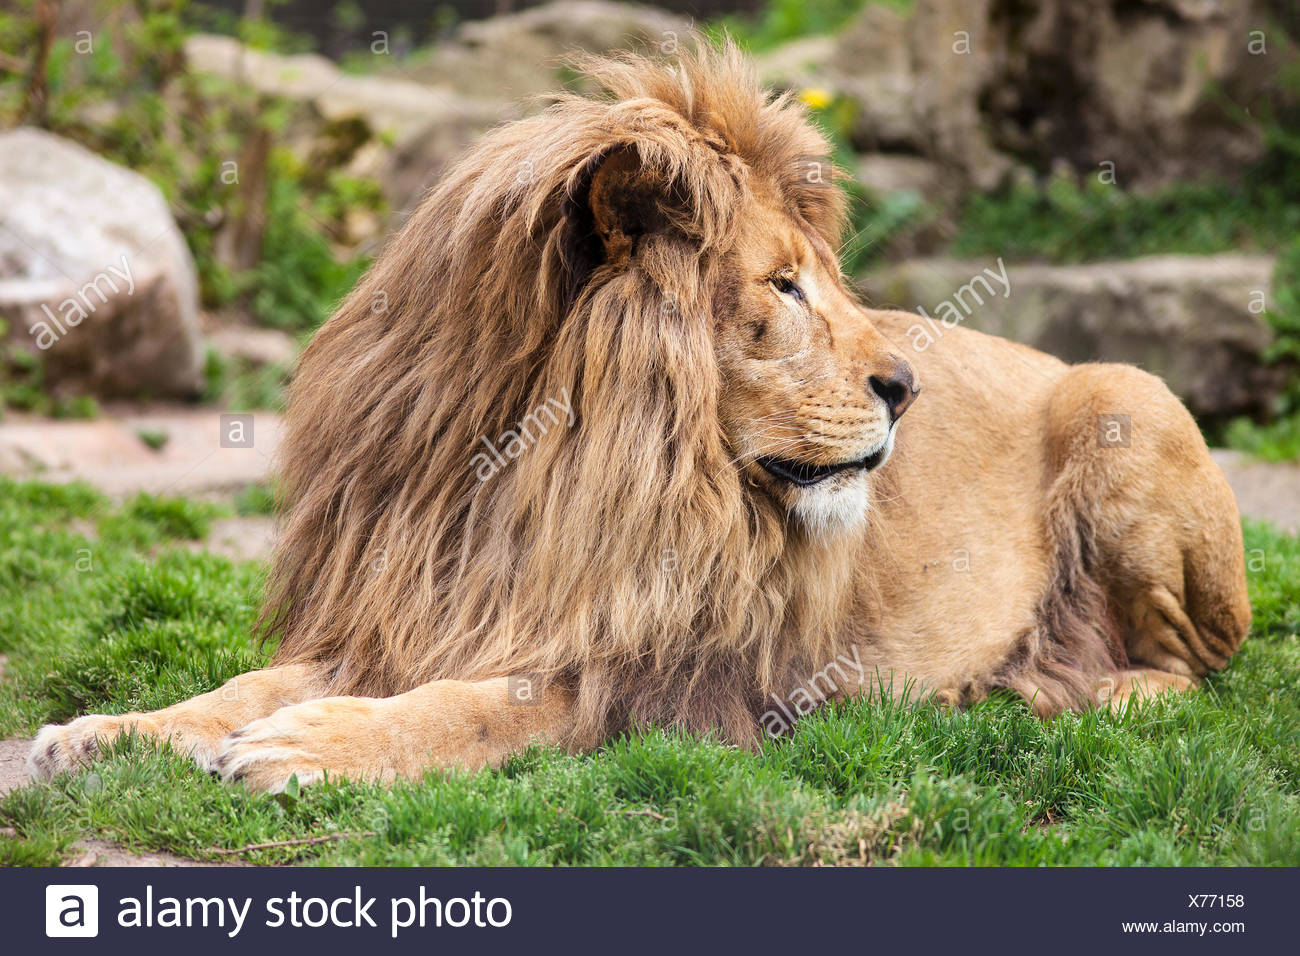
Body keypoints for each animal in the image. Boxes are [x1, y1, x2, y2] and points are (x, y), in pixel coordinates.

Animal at [29, 43, 1250, 793]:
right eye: (783, 287)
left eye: (828, 281)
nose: (909, 385)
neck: (532, 472)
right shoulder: (410, 612)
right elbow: (239, 688)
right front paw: (101, 734)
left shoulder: (673, 676)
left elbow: (482, 708)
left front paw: (311, 746)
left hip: (1124, 398)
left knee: (1196, 668)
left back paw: (1071, 693)